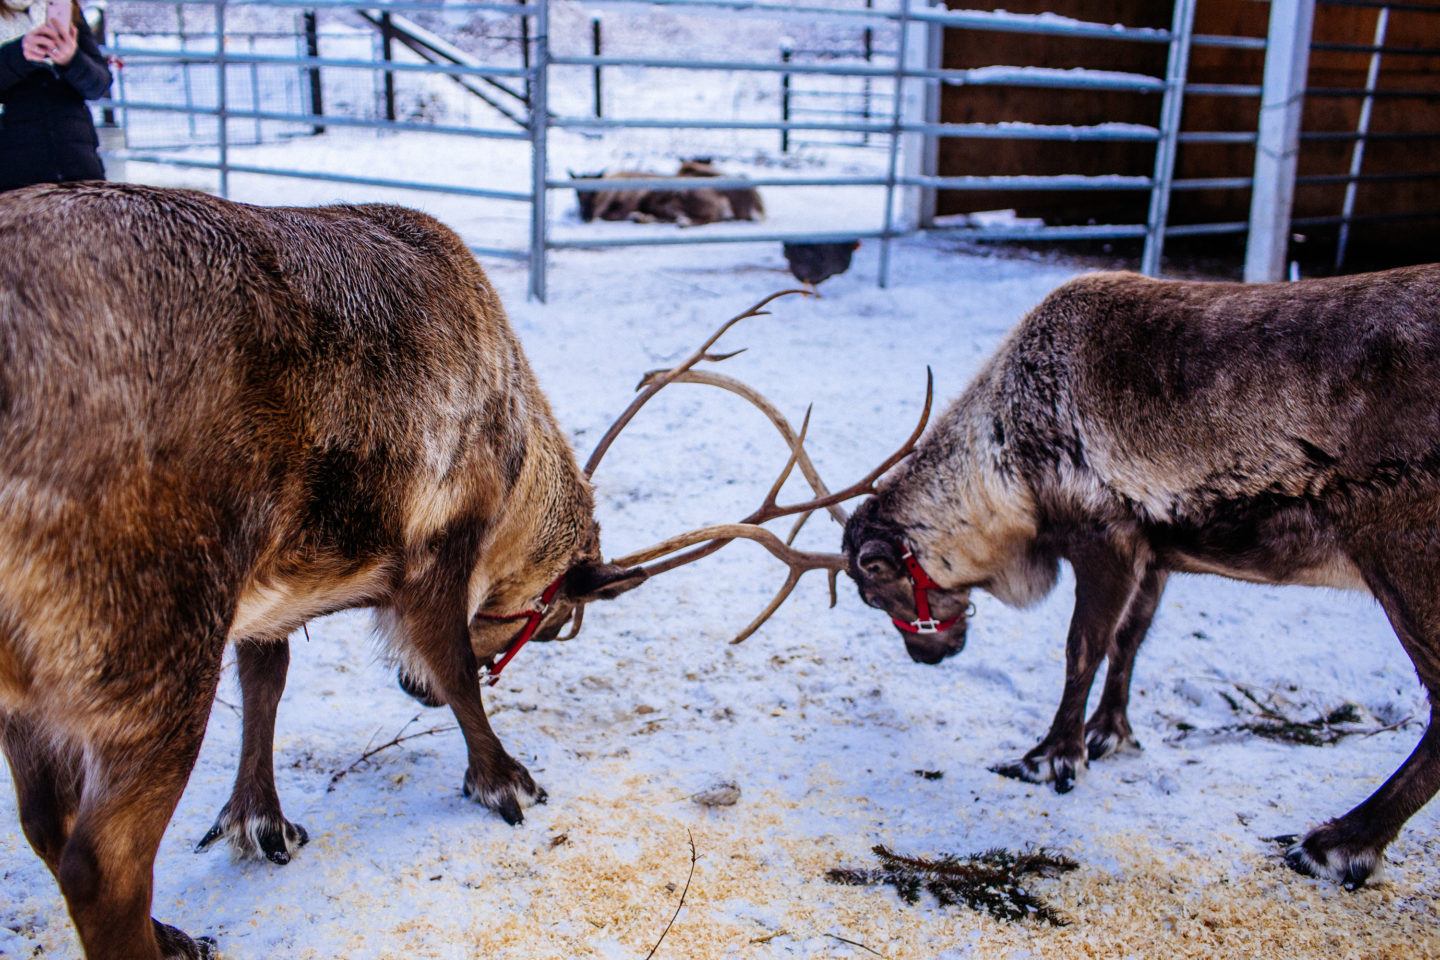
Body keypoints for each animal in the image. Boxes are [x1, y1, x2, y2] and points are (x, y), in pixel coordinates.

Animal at [840, 266, 1440, 890]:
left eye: (876, 592)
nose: (924, 656)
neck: (1003, 463)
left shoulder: (1106, 538)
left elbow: (1083, 648)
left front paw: (1051, 757)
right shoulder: (1154, 554)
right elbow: (1129, 640)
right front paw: (1108, 734)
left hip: (1404, 557)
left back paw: (1339, 844)